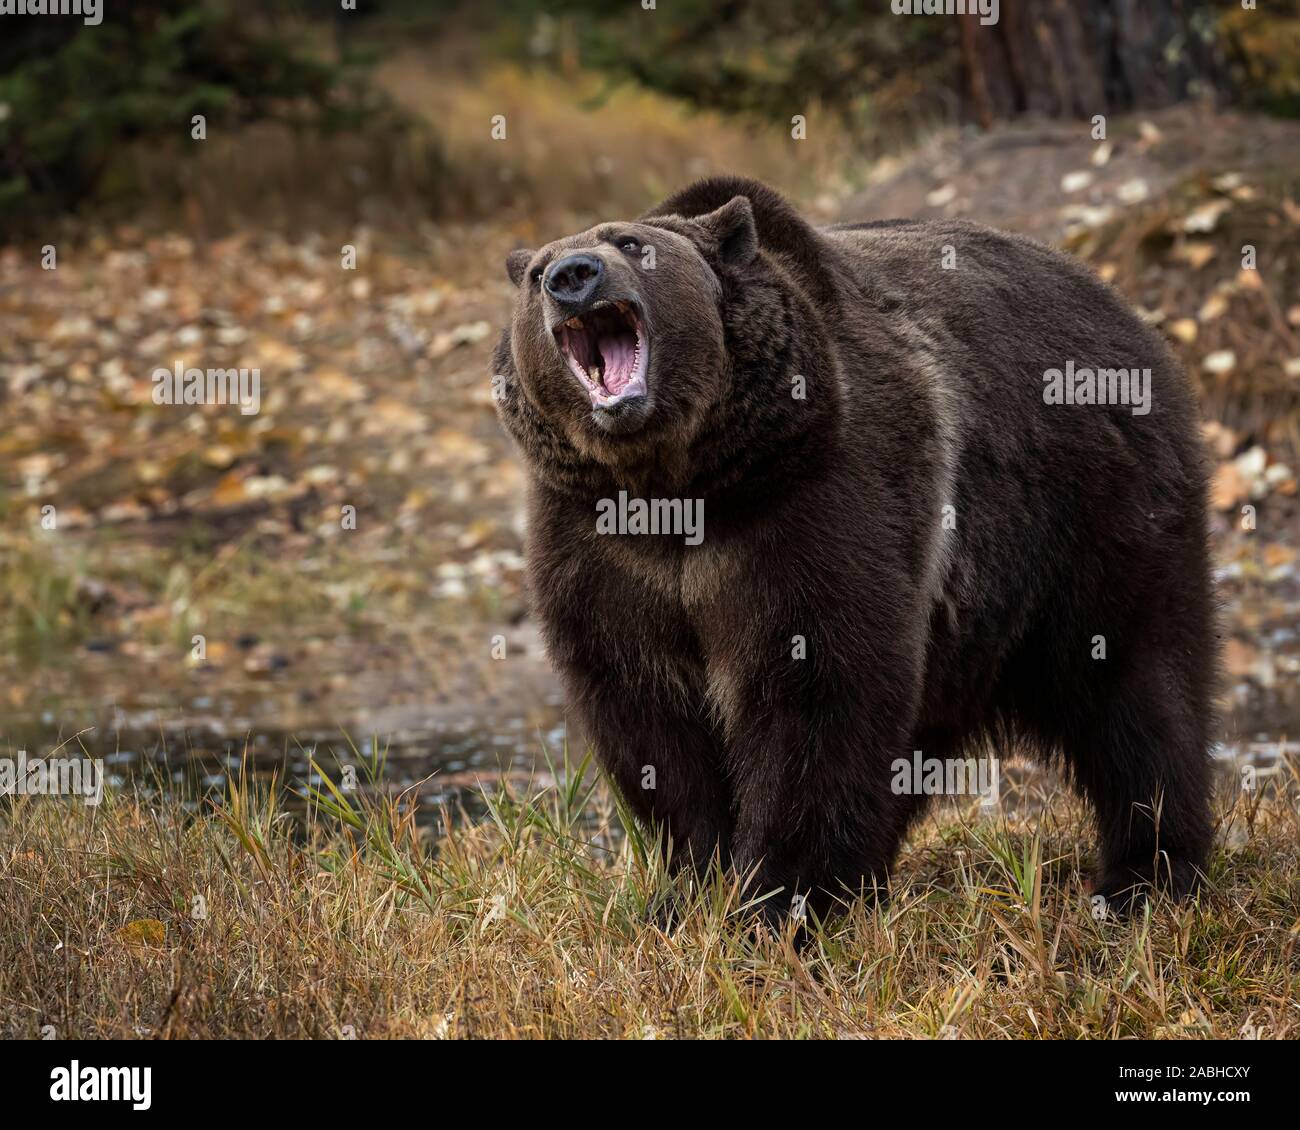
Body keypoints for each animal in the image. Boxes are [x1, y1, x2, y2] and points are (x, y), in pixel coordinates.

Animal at [491, 175, 1216, 925]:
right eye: (538, 270)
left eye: (632, 243)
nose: (573, 276)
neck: (679, 486)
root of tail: (1114, 299)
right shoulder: (602, 548)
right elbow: (648, 714)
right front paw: (692, 888)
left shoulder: (815, 503)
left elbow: (817, 690)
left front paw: (780, 900)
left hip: (1093, 507)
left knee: (1134, 685)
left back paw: (1146, 875)